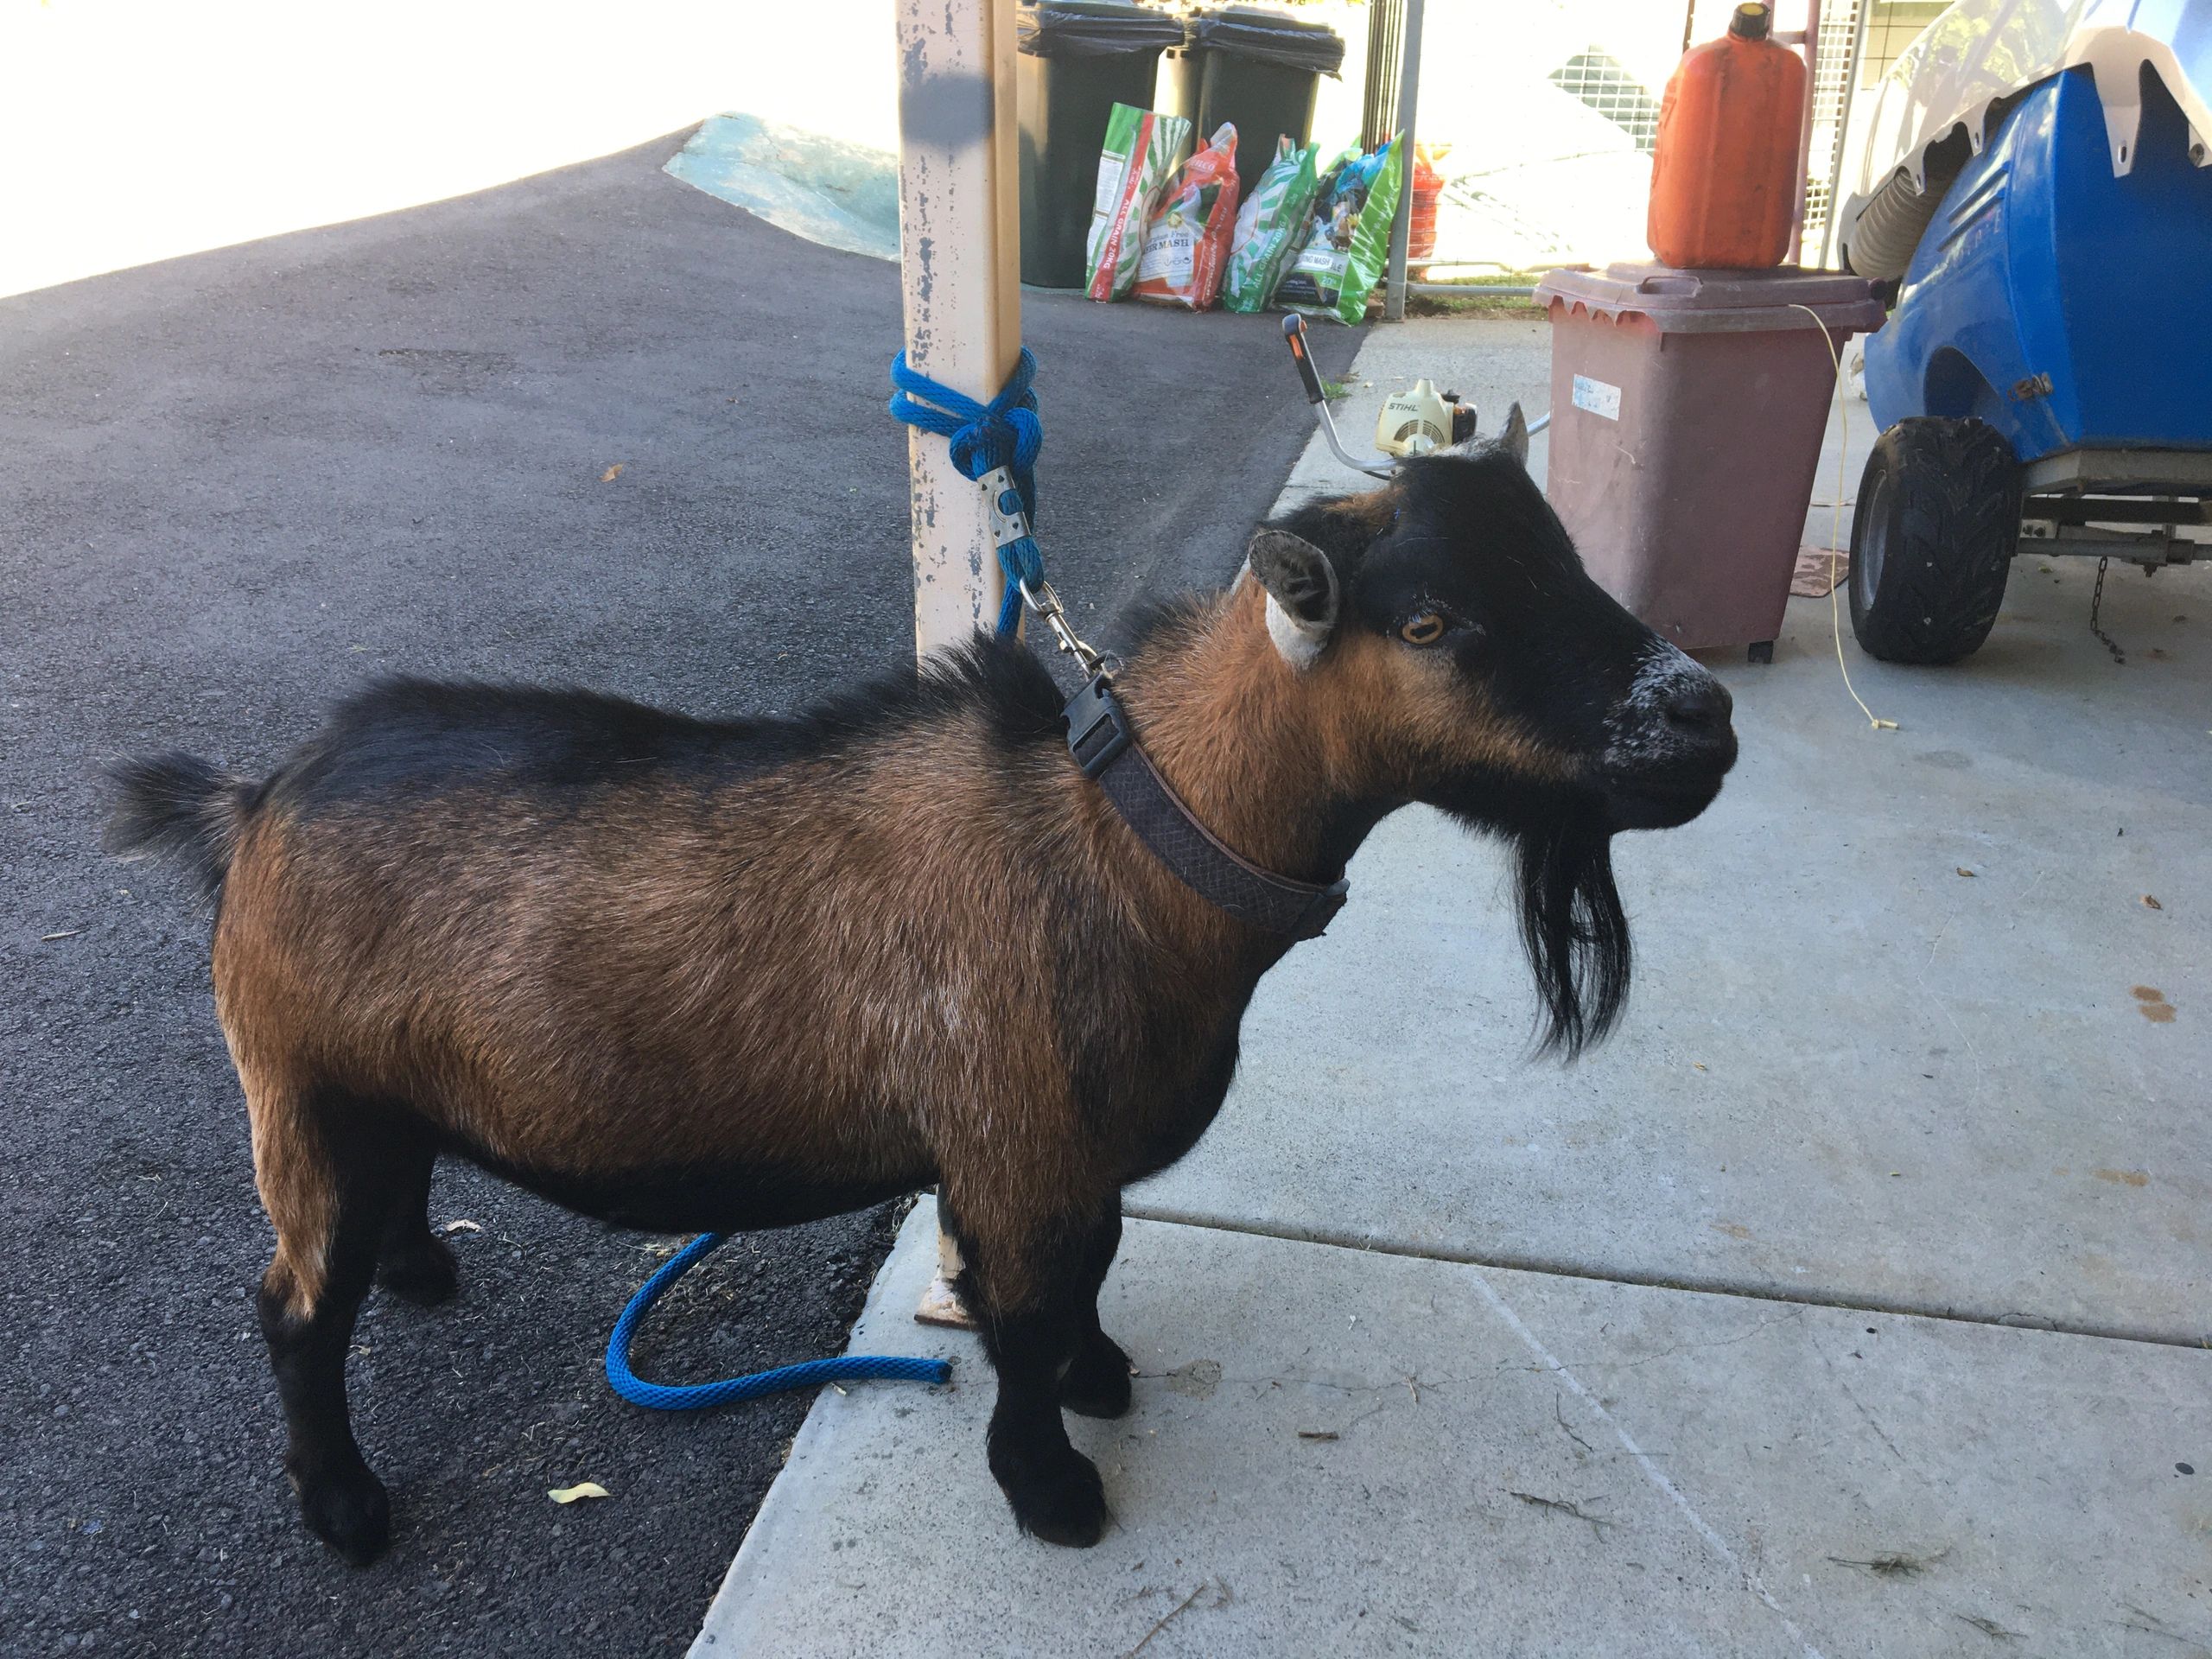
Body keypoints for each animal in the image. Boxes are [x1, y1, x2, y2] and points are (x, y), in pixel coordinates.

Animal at [106, 417, 1735, 1564]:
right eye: (1432, 623)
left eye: (1572, 561)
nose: (1702, 721)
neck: (1130, 839)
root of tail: (248, 803)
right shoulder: (1017, 1147)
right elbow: (1019, 1319)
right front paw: (1056, 1490)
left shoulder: (1065, 1153)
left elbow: (1089, 1280)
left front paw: (1101, 1380)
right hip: (300, 1088)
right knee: (292, 1309)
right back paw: (345, 1509)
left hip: (367, 1094)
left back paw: (419, 1272)